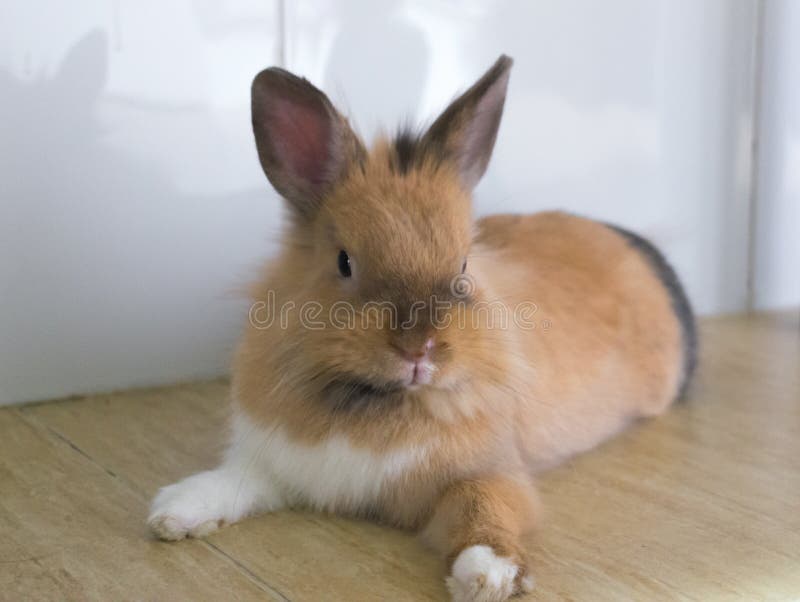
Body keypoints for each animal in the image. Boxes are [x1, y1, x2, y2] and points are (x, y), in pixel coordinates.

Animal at [148, 55, 696, 601]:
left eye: (464, 266)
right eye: (344, 262)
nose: (419, 350)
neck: (378, 403)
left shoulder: (492, 472)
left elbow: (484, 507)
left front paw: (488, 574)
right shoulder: (274, 460)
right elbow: (234, 481)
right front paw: (173, 512)